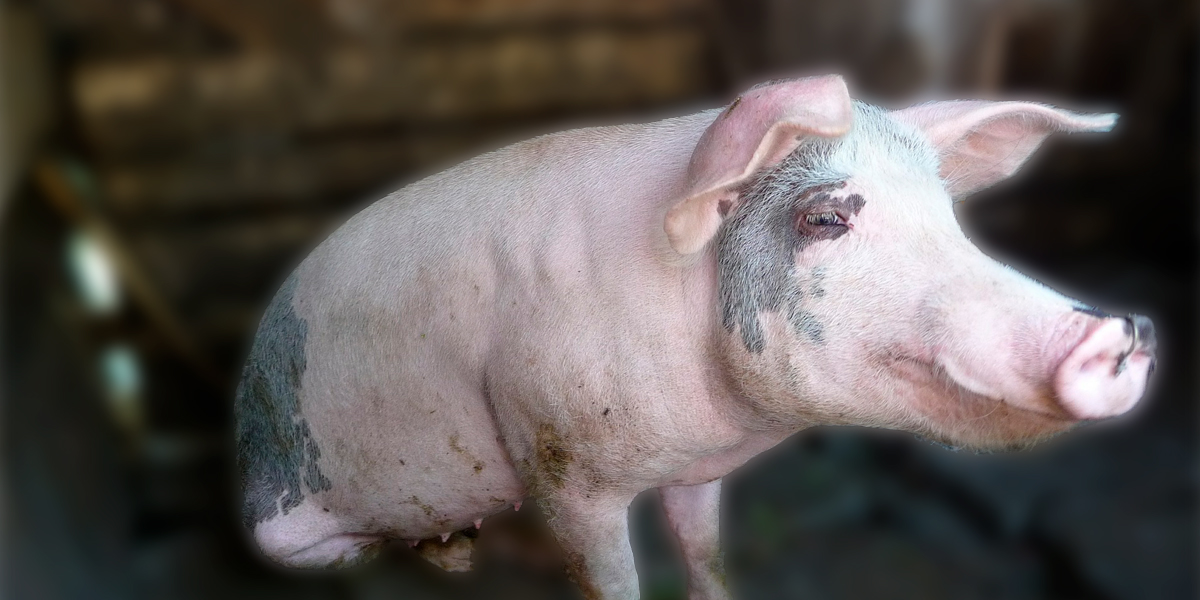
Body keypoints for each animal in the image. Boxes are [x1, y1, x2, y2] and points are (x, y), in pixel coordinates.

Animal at [235, 75, 1156, 599]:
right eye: (826, 218)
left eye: (948, 217)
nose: (1127, 327)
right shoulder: (562, 461)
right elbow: (609, 579)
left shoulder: (700, 472)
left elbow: (706, 554)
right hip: (282, 519)